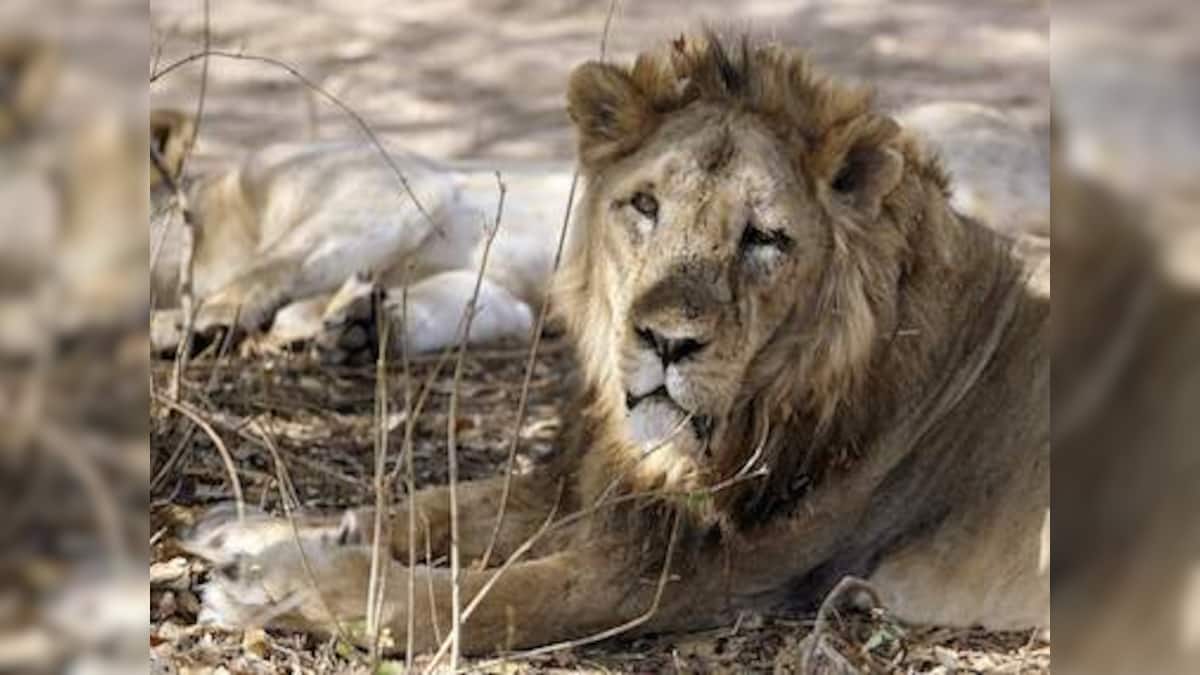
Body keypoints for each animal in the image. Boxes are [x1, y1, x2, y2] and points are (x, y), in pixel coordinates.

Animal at [183, 33, 1049, 655]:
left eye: (764, 238)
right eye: (645, 205)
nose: (665, 341)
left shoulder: (671, 577)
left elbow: (452, 599)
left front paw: (271, 581)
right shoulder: (582, 488)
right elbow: (422, 506)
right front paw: (249, 526)